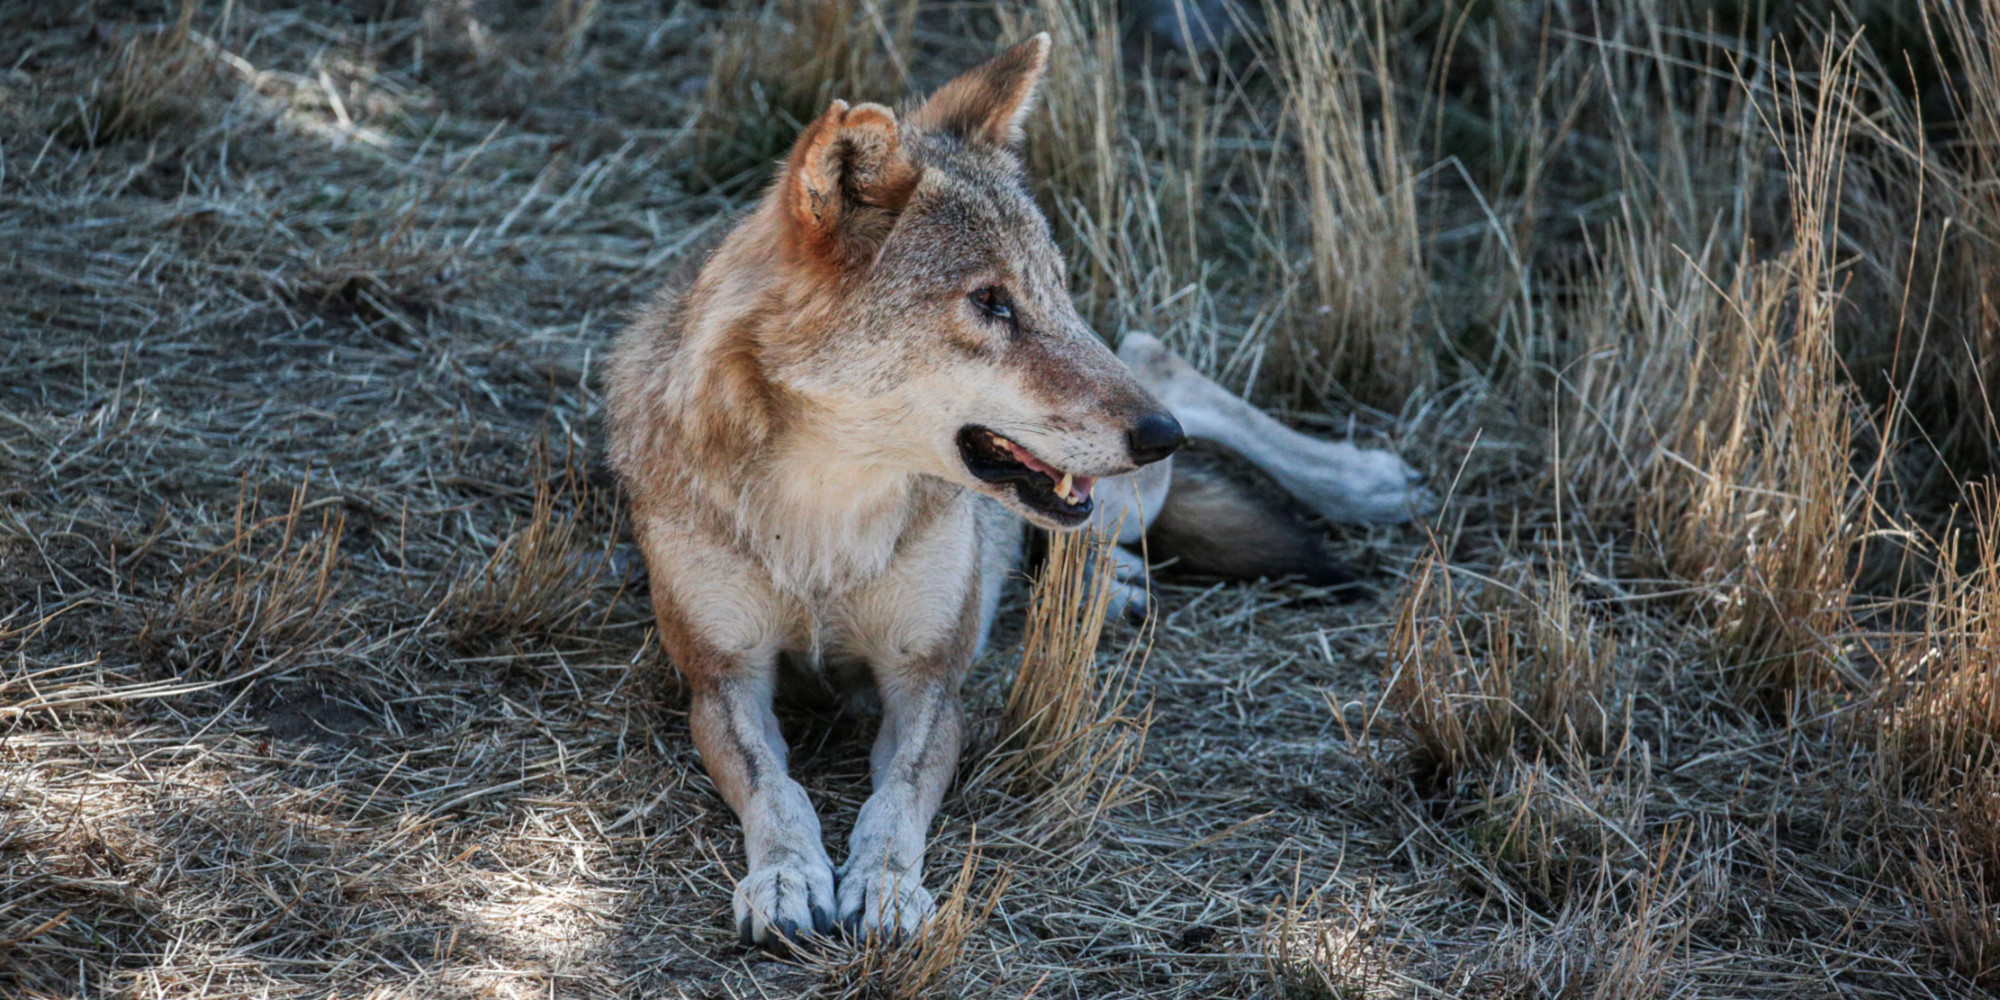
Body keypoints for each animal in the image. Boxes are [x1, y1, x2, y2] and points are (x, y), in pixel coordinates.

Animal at [605, 34, 1431, 948]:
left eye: (1051, 289)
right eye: (991, 303)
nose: (1158, 434)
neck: (824, 519)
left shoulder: (929, 681)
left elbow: (894, 804)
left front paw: (886, 887)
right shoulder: (722, 679)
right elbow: (776, 790)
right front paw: (786, 877)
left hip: (1126, 478)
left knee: (1159, 361)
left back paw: (1364, 482)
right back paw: (1120, 580)